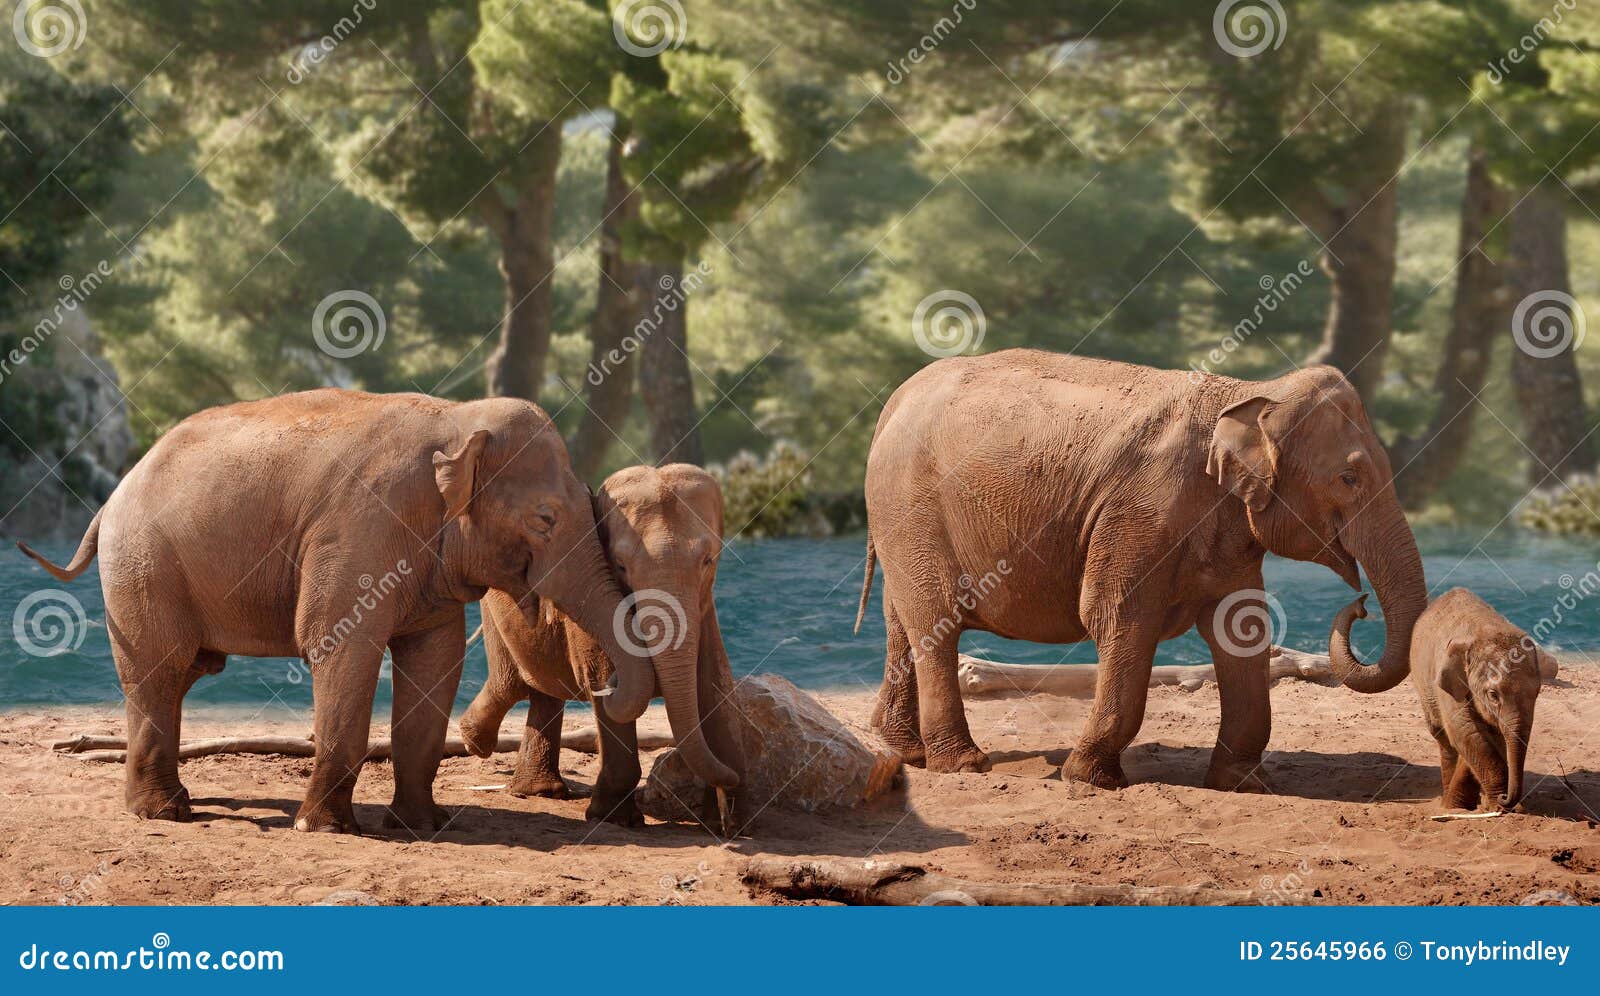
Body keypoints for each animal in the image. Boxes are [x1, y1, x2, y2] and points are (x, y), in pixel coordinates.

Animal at [18, 389, 655, 834]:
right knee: (159, 670)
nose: (603, 684)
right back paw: (163, 814)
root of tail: (109, 501)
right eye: (545, 520)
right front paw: (322, 827)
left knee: (184, 672)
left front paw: (421, 825)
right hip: (144, 567)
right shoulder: (360, 531)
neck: (455, 420)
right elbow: (338, 644)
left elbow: (437, 660)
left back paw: (170, 803)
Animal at [459, 463, 744, 825]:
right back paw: (476, 742)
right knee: (512, 682)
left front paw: (732, 820)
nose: (732, 781)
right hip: (494, 611)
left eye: (708, 560)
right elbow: (601, 676)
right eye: (620, 565)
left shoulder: (705, 610)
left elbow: (713, 683)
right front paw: (614, 819)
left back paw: (540, 790)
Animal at [855, 350, 1427, 791]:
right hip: (914, 511)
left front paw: (1244, 784)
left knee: (900, 622)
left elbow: (1241, 628)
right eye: (1350, 478)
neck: (1250, 391)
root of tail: (892, 402)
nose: (1361, 605)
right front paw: (1091, 779)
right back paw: (963, 765)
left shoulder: (1226, 532)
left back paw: (907, 751)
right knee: (936, 624)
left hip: (901, 524)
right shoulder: (1140, 510)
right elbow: (1115, 616)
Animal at [1404, 587, 1546, 811]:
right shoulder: (1448, 686)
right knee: (1444, 738)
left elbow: (1492, 735)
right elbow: (1465, 731)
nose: (1506, 797)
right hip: (1424, 688)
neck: (1485, 629)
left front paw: (1496, 805)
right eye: (1493, 695)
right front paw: (1497, 807)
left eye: (1537, 692)